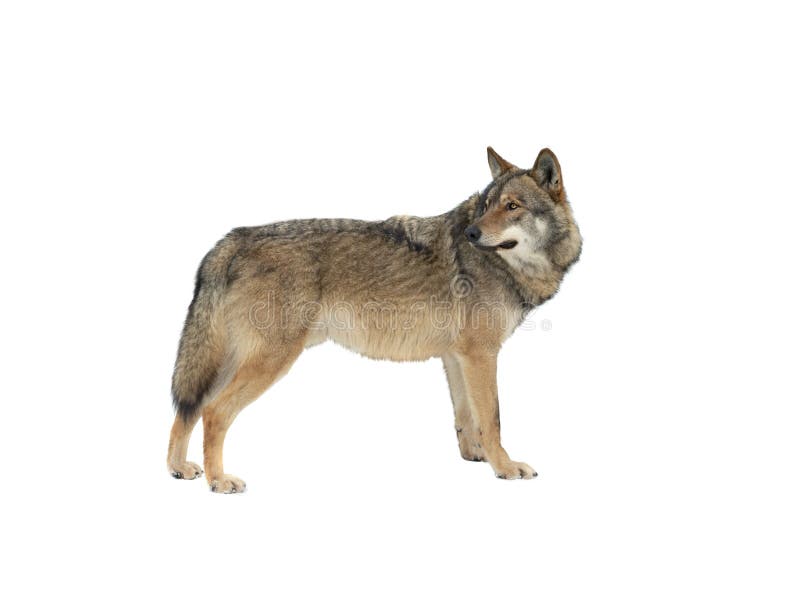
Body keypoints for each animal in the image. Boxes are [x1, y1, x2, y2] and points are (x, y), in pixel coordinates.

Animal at [167, 147, 582, 493]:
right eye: (485, 206)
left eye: (512, 206)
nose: (471, 233)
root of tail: (231, 240)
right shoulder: (481, 354)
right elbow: (493, 418)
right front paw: (505, 467)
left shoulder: (458, 357)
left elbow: (467, 416)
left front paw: (475, 456)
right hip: (268, 361)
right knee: (213, 412)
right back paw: (219, 480)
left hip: (229, 360)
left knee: (189, 408)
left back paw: (179, 468)